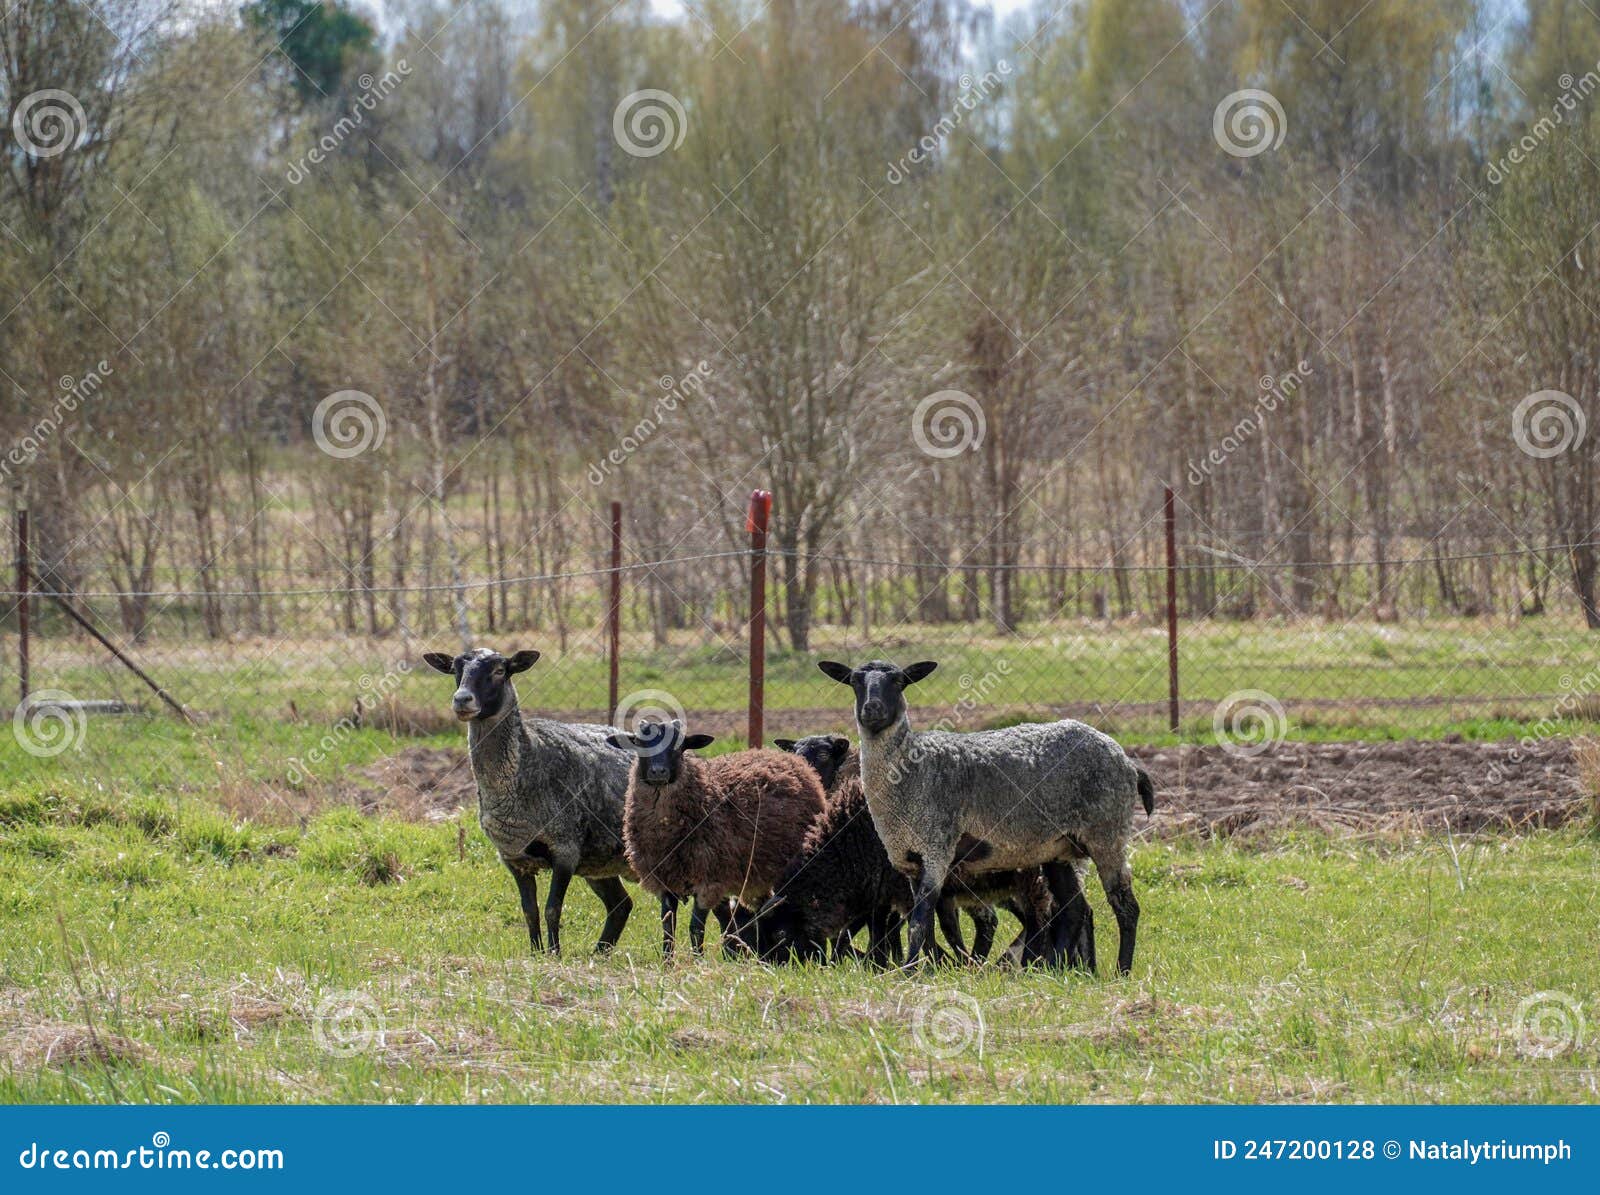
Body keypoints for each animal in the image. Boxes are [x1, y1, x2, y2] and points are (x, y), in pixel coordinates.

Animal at [423, 648, 634, 956]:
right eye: (455, 669)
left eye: (500, 670)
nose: (462, 700)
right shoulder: (514, 858)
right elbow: (529, 911)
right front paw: (535, 954)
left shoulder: (565, 849)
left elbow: (552, 909)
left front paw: (555, 954)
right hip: (600, 861)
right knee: (620, 905)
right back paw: (599, 955)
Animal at [607, 720, 826, 959]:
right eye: (639, 743)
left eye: (679, 745)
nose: (658, 771)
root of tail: (782, 757)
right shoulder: (664, 880)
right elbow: (668, 928)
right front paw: (667, 962)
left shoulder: (708, 881)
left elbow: (695, 928)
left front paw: (698, 960)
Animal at [817, 658, 1155, 973]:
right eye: (855, 681)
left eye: (899, 681)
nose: (872, 709)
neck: (912, 770)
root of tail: (1127, 760)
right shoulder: (909, 860)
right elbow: (923, 924)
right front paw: (925, 967)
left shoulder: (937, 848)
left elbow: (920, 922)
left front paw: (911, 970)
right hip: (1058, 847)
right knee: (1074, 909)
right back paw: (1054, 970)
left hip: (1107, 832)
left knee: (1124, 905)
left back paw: (1122, 971)